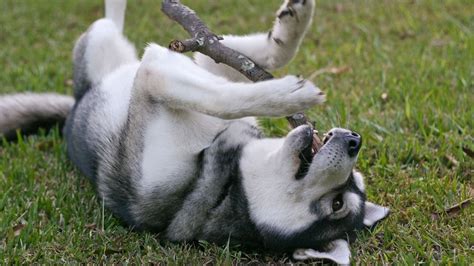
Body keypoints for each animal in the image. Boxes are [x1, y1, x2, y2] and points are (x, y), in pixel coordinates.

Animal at [0, 0, 388, 262]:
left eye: (337, 203)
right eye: (356, 180)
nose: (354, 141)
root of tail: (73, 107)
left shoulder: (154, 77)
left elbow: (217, 96)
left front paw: (282, 96)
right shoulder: (197, 64)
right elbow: (230, 59)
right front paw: (287, 43)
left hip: (104, 48)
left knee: (113, 25)